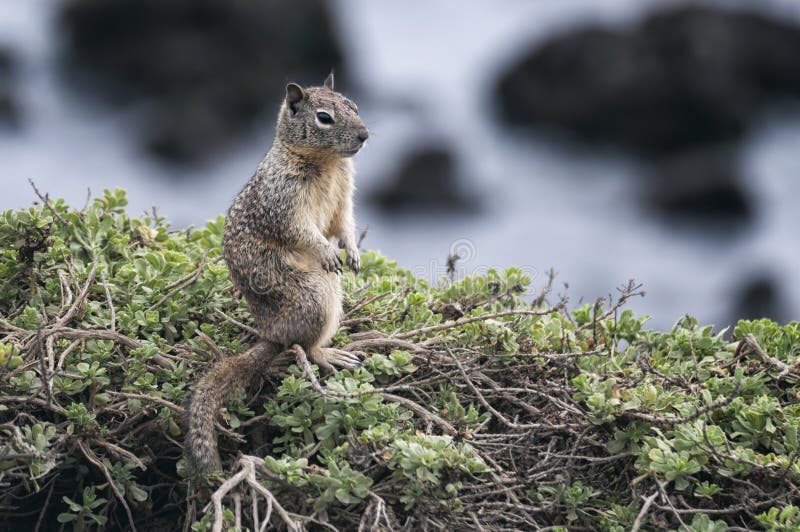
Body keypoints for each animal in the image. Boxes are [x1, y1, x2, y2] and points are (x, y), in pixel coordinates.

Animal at [185, 72, 369, 473]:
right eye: (324, 118)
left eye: (355, 105)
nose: (365, 135)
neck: (328, 162)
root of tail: (272, 332)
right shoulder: (285, 201)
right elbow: (303, 231)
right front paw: (327, 251)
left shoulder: (345, 195)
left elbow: (344, 223)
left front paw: (352, 252)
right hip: (314, 298)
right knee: (305, 347)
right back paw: (330, 354)